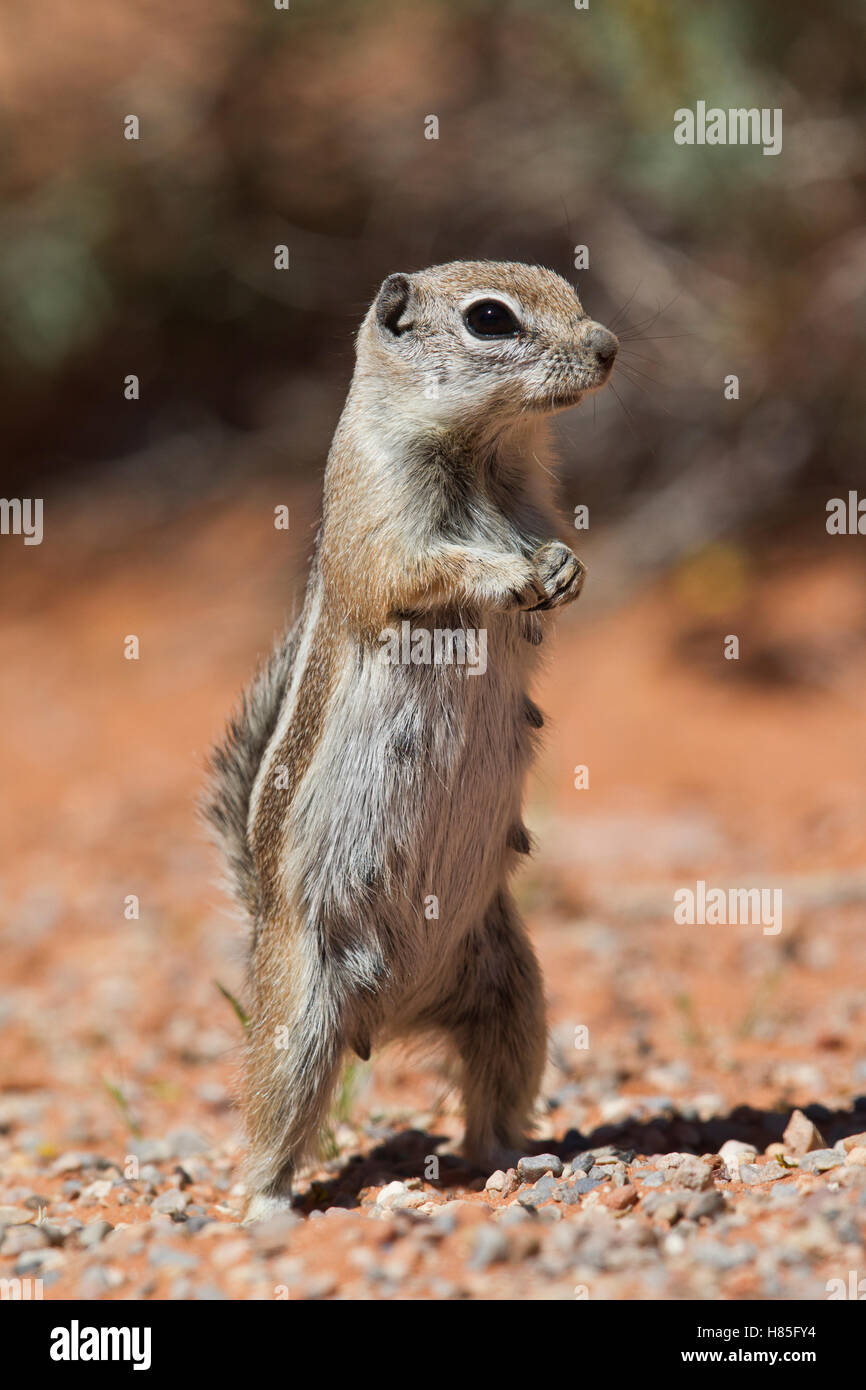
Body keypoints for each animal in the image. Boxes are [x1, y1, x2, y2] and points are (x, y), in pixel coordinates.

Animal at [204, 261, 617, 1222]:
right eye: (491, 319)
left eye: (569, 288)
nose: (608, 347)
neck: (485, 450)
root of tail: (393, 1014)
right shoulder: (382, 521)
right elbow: (420, 571)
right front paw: (510, 572)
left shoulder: (533, 500)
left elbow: (553, 567)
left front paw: (565, 568)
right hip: (299, 1010)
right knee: (271, 1117)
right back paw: (268, 1206)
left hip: (513, 989)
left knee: (492, 1098)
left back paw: (523, 1157)